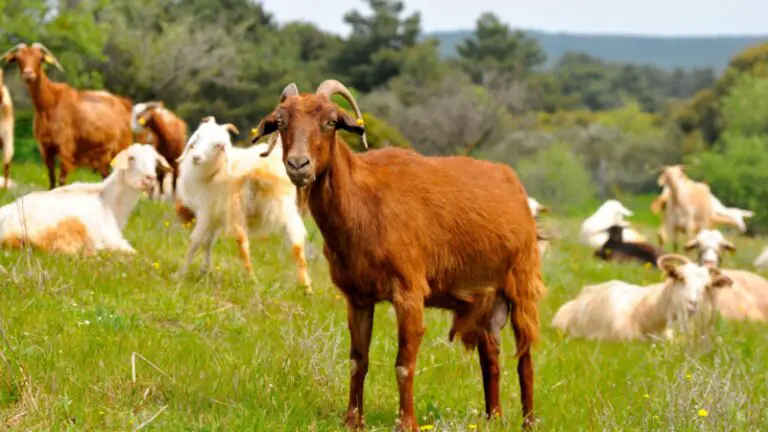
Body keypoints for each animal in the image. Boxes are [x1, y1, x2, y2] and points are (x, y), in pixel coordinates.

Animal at [0, 144, 170, 254]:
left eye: (155, 161)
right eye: (131, 159)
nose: (150, 178)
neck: (108, 201)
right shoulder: (112, 236)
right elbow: (133, 252)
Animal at [2, 42, 133, 189]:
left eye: (40, 58)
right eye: (19, 59)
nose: (28, 74)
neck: (49, 105)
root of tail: (124, 103)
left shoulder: (65, 149)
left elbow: (62, 180)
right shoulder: (45, 149)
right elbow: (52, 180)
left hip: (123, 148)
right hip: (104, 158)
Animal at [173, 117, 311, 291]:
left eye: (218, 145)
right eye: (197, 138)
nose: (196, 157)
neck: (216, 169)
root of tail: (258, 170)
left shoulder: (207, 211)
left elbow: (195, 241)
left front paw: (180, 274)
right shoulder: (217, 216)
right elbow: (208, 242)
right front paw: (205, 271)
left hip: (236, 209)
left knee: (242, 244)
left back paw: (252, 279)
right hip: (284, 206)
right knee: (297, 243)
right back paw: (306, 287)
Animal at [251, 80, 545, 431]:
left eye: (331, 122)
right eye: (281, 122)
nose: (298, 165)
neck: (365, 204)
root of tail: (514, 184)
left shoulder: (409, 291)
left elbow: (404, 364)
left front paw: (406, 422)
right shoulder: (358, 297)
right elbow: (357, 360)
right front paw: (352, 420)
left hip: (522, 284)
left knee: (525, 359)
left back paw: (528, 422)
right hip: (487, 299)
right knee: (491, 356)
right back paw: (493, 418)